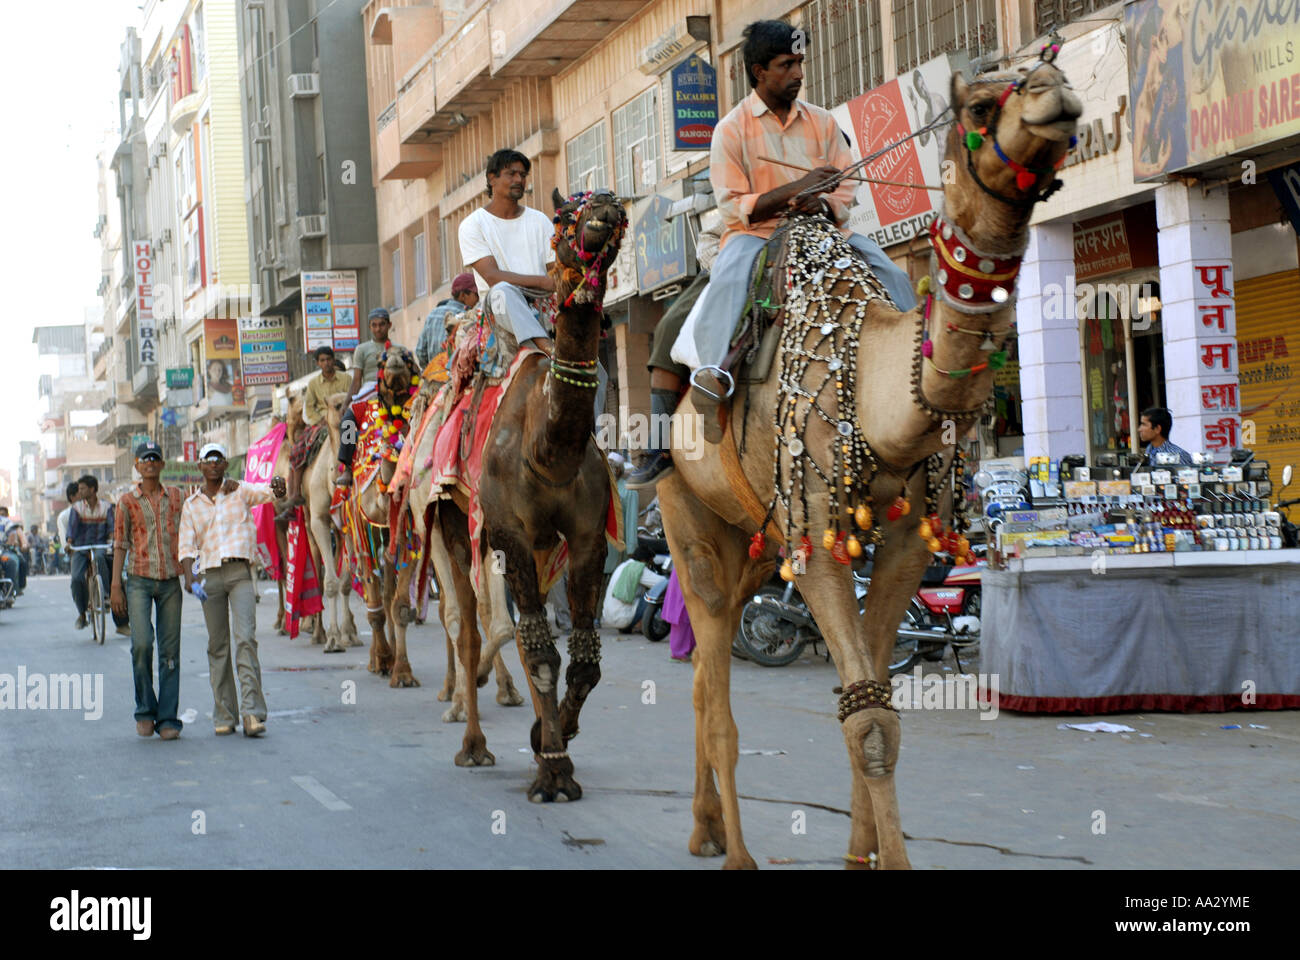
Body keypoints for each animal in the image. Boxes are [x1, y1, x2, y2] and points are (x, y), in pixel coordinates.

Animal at [440, 188, 626, 795]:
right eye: (568, 217)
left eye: (615, 211)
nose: (606, 209)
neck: (547, 452)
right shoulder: (508, 530)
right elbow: (543, 652)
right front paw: (553, 774)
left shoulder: (586, 537)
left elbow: (584, 660)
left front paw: (554, 740)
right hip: (455, 526)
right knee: (470, 628)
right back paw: (472, 745)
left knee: (515, 629)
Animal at [656, 57, 1080, 868]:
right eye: (982, 104)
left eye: (1049, 73)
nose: (1058, 95)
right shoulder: (817, 532)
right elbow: (867, 724)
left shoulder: (906, 542)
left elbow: (881, 704)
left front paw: (862, 853)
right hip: (685, 511)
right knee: (712, 670)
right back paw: (733, 849)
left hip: (754, 536)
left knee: (700, 670)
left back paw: (702, 827)